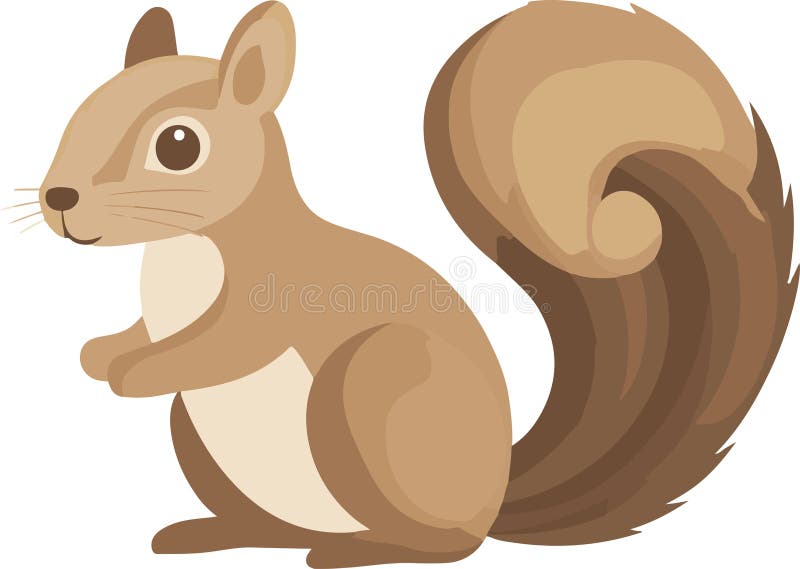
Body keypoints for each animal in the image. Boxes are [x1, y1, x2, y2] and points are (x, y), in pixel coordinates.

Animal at [34, 1, 795, 567]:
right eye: (82, 109)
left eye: (179, 145)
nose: (58, 198)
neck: (182, 254)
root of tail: (493, 500)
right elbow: (143, 332)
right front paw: (102, 354)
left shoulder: (270, 298)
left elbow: (222, 346)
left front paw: (132, 371)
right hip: (200, 437)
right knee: (278, 526)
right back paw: (219, 533)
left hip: (368, 387)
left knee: (446, 546)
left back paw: (359, 551)